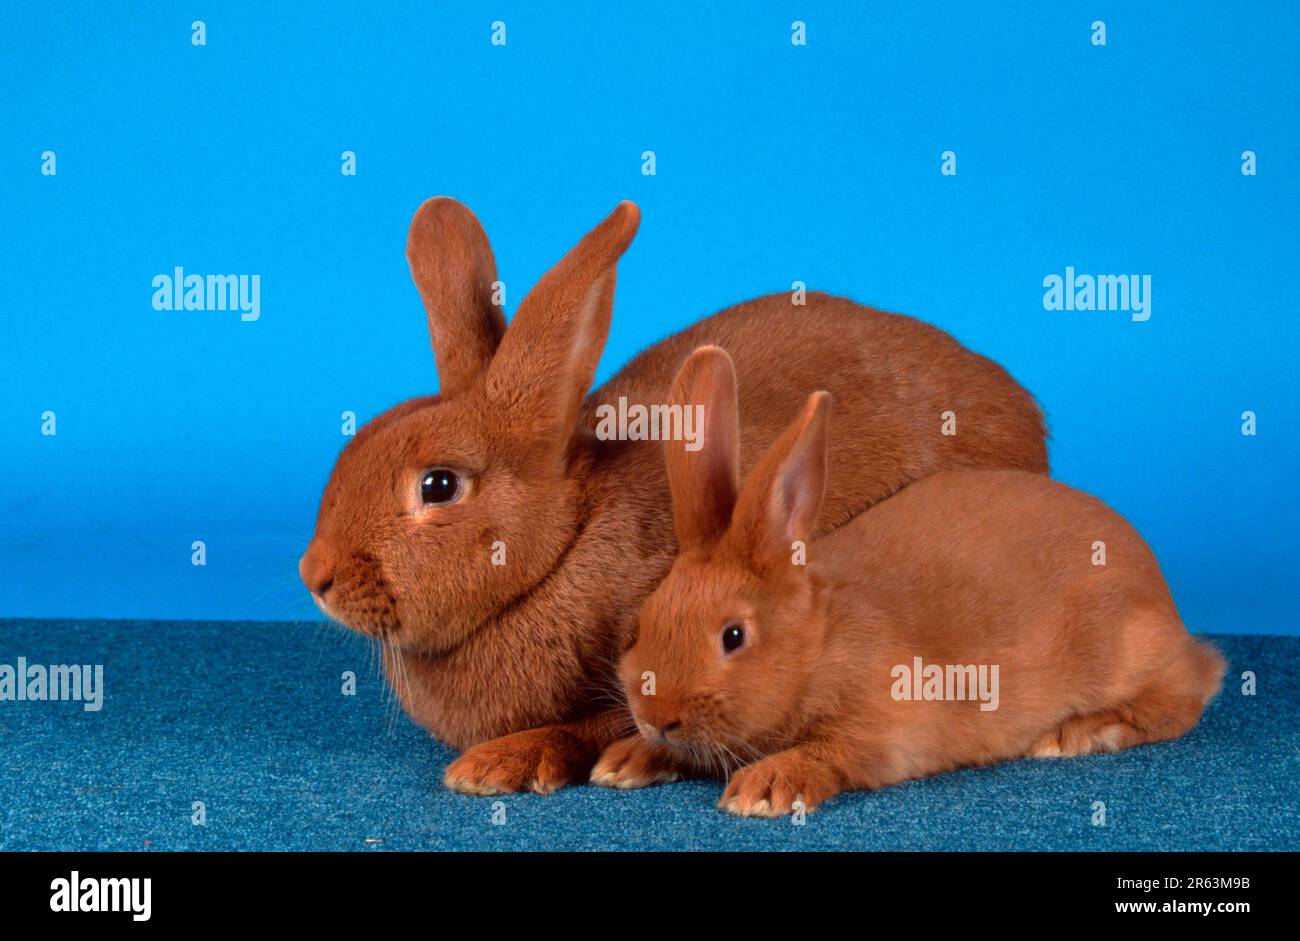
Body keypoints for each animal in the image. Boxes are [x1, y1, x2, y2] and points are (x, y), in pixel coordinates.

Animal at [593, 346, 1225, 815]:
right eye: (644, 624)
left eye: (733, 637)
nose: (655, 718)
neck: (816, 647)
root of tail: (1162, 595)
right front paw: (626, 761)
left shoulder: (882, 730)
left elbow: (831, 753)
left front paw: (763, 788)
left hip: (1129, 650)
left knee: (1183, 698)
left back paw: (1078, 735)